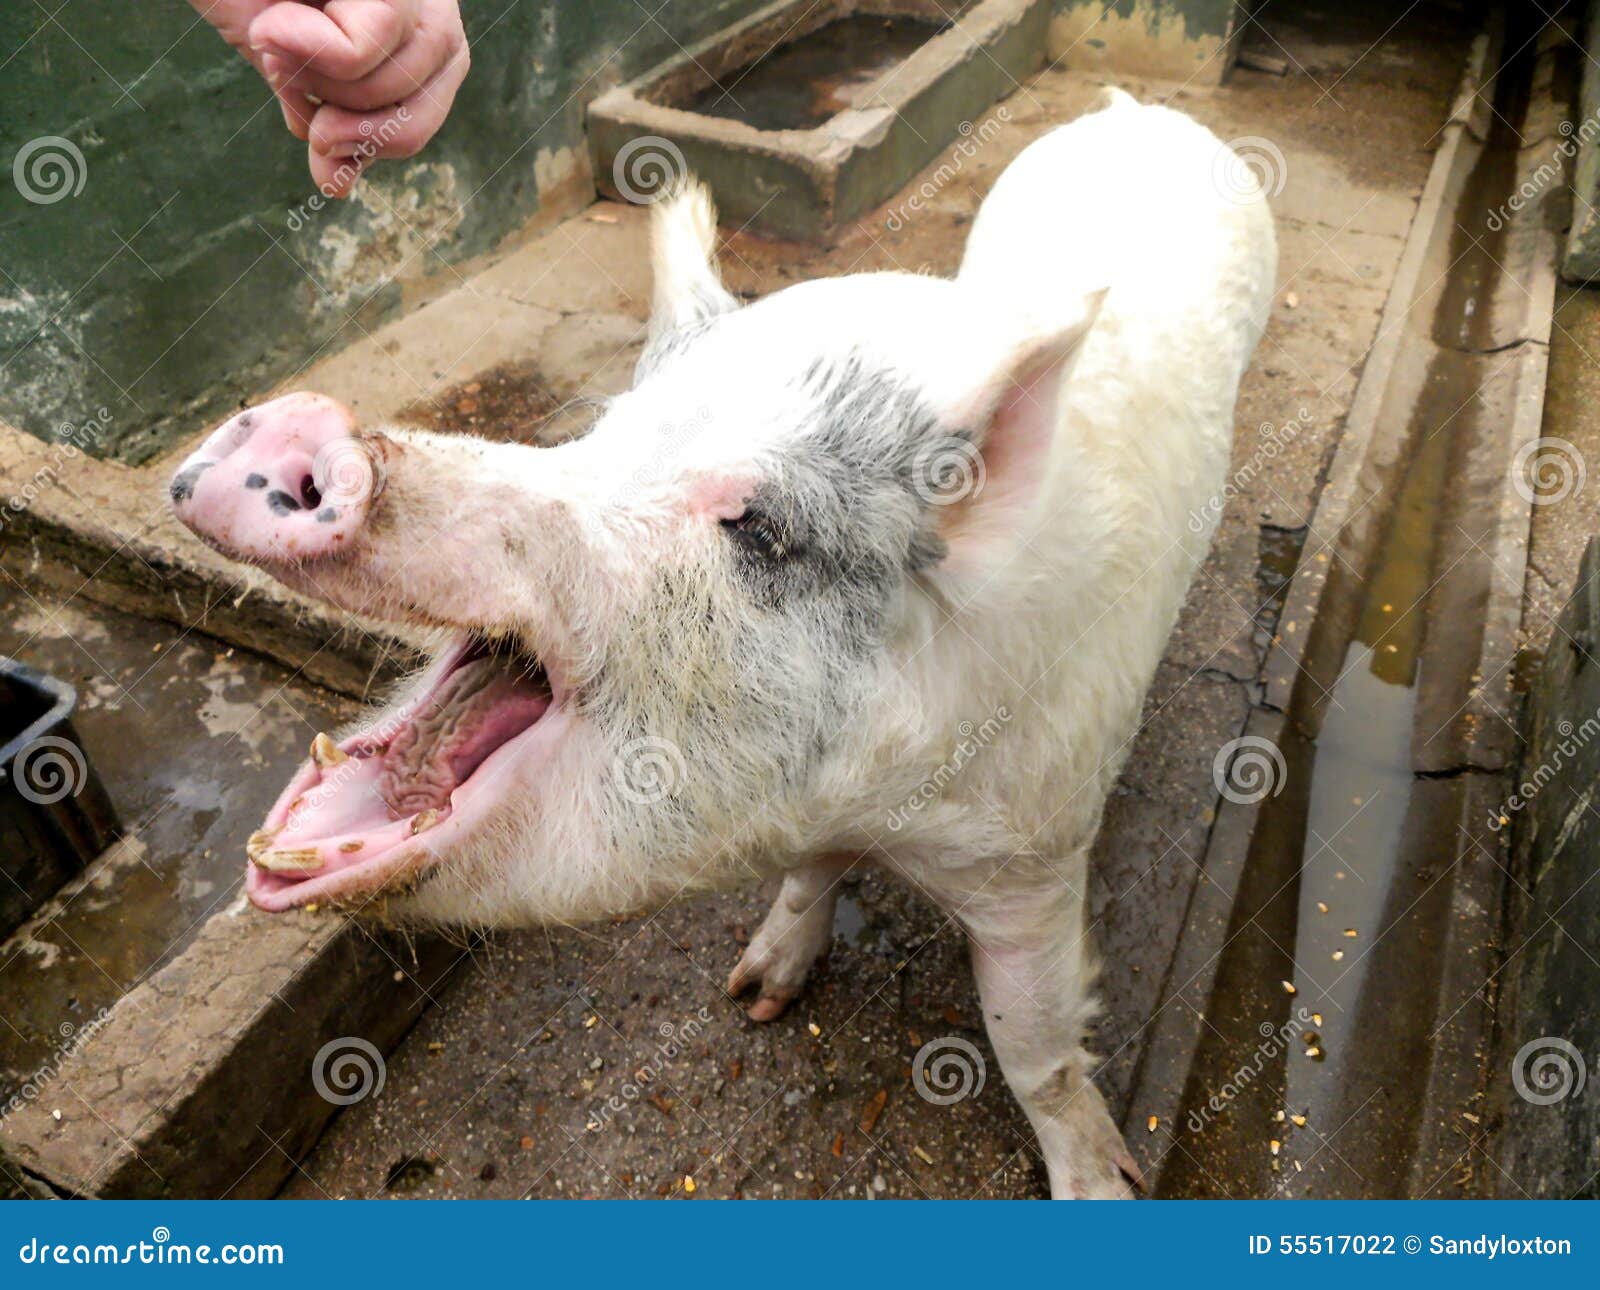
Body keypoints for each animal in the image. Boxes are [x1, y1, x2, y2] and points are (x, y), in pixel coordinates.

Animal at [169, 89, 1275, 1198]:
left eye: (759, 528)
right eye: (600, 434)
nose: (296, 428)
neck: (872, 802)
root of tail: (1138, 109)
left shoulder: (1034, 852)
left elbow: (1030, 1040)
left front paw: (1105, 1185)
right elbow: (808, 880)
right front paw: (753, 994)